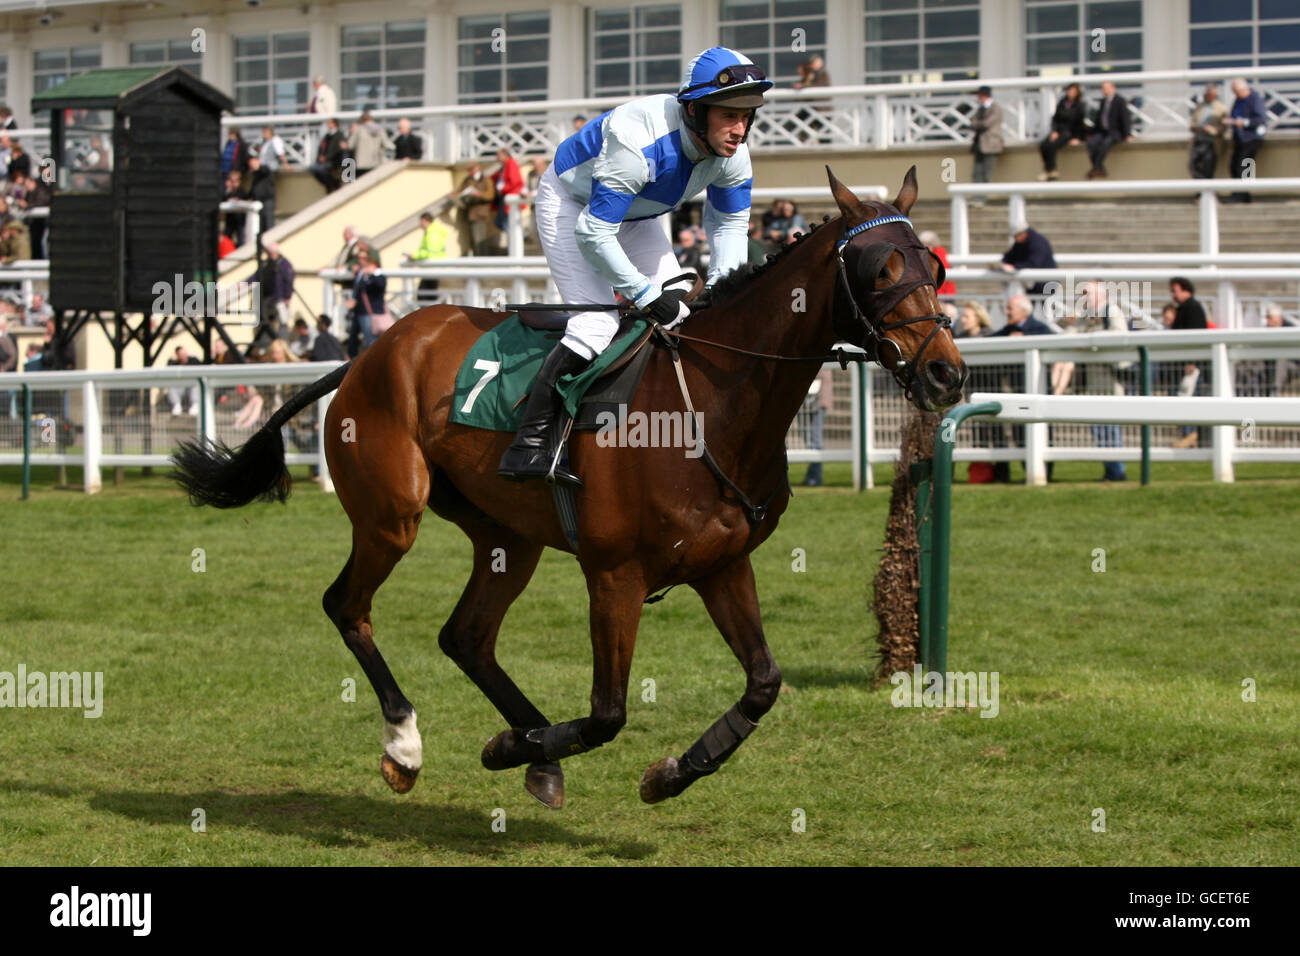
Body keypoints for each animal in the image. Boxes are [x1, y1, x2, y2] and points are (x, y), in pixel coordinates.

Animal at [172, 166, 967, 808]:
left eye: (933, 267)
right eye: (879, 269)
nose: (946, 373)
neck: (712, 404)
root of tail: (368, 353)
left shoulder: (721, 564)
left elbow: (764, 683)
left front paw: (668, 773)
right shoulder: (615, 574)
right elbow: (609, 712)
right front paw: (507, 749)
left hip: (507, 537)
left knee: (465, 636)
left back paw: (532, 748)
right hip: (391, 516)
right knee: (348, 606)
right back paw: (408, 745)